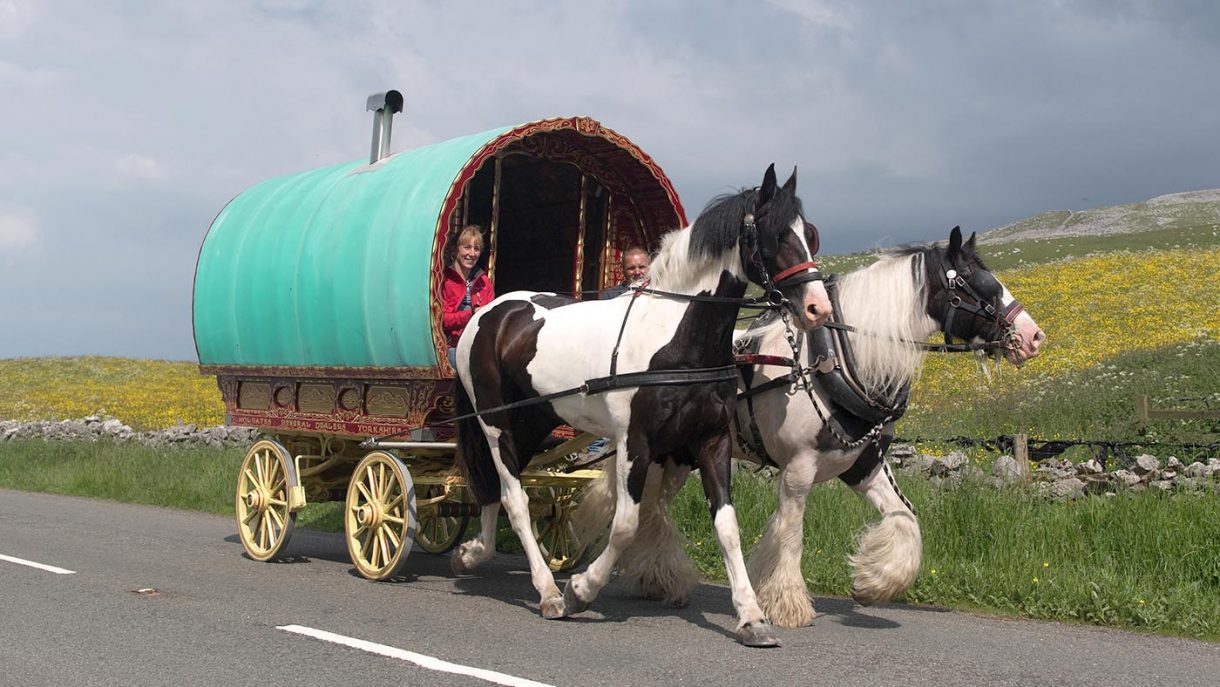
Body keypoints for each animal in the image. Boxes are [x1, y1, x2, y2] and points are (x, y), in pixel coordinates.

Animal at [451, 164, 831, 647]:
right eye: (776, 234)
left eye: (810, 234)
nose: (818, 308)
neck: (677, 339)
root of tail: (488, 314)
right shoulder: (636, 442)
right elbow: (626, 524)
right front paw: (580, 590)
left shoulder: (711, 440)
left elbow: (727, 527)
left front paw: (752, 617)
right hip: (495, 422)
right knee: (513, 495)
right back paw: (548, 592)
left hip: (534, 421)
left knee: (494, 490)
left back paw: (474, 552)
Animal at [580, 226, 1045, 629]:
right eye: (975, 285)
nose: (1034, 336)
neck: (835, 359)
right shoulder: (799, 469)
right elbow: (790, 532)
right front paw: (786, 603)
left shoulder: (864, 467)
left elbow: (906, 519)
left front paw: (872, 583)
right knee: (647, 508)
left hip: (681, 456)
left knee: (653, 510)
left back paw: (657, 577)